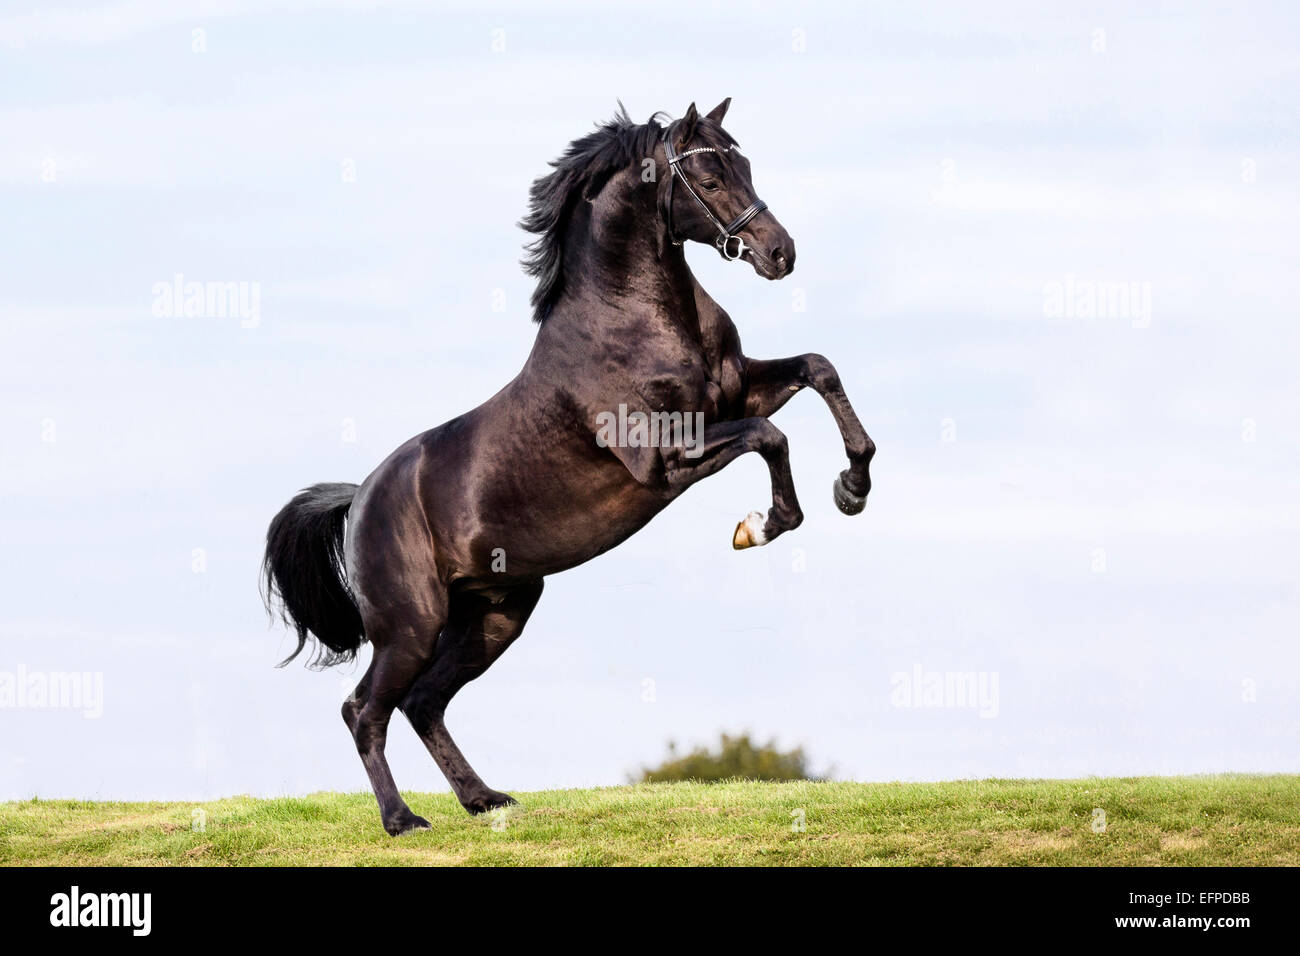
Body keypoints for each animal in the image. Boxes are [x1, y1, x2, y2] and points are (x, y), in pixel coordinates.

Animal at [263, 99, 876, 835]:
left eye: (745, 163)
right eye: (708, 173)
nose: (780, 253)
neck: (637, 319)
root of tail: (357, 502)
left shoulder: (737, 394)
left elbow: (818, 370)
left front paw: (853, 487)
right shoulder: (665, 458)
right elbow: (771, 436)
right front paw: (760, 524)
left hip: (496, 614)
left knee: (424, 704)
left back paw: (484, 799)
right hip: (409, 627)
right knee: (365, 710)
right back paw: (403, 819)